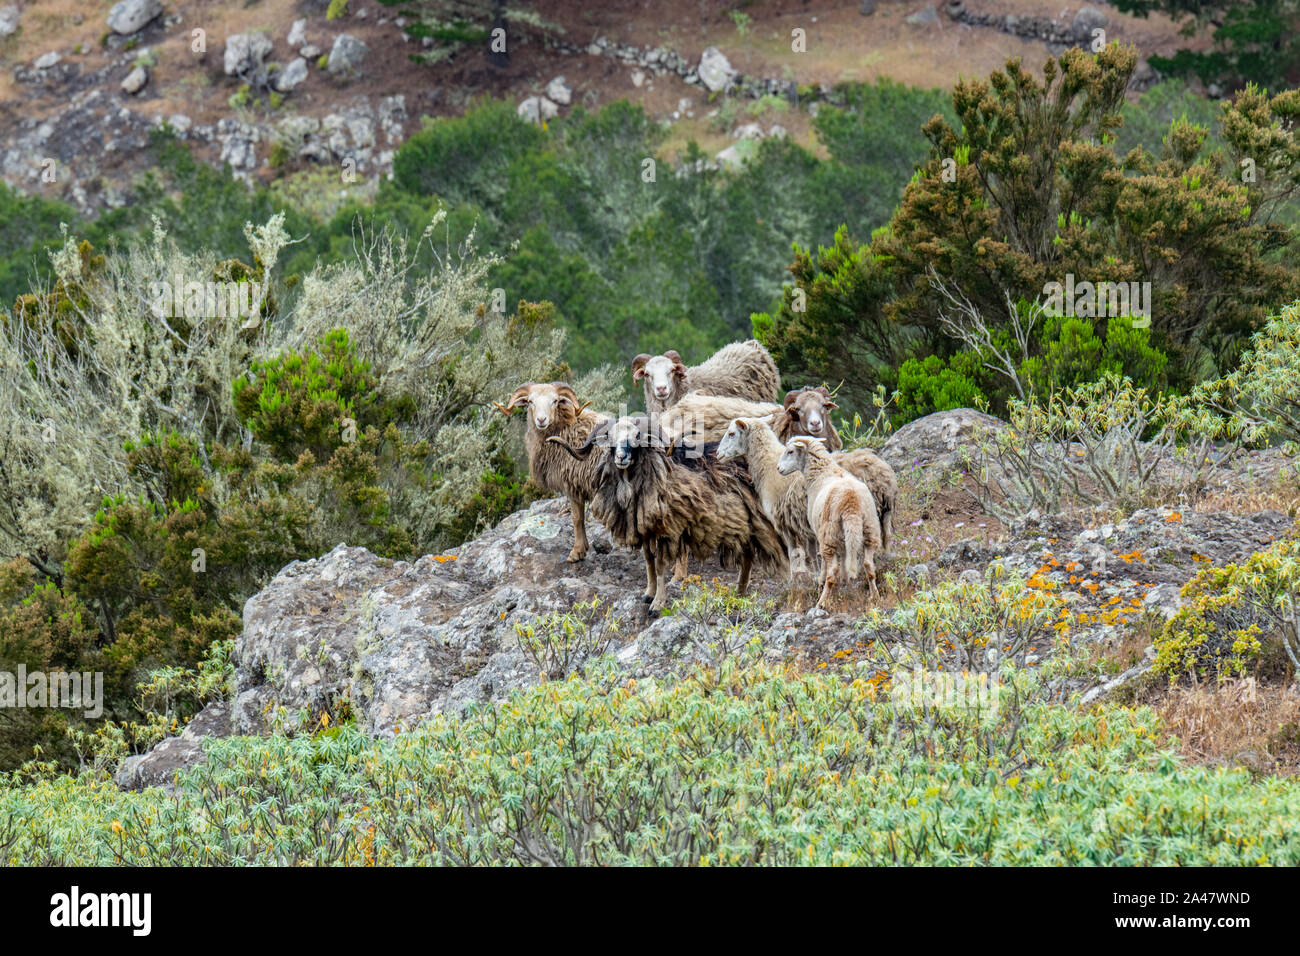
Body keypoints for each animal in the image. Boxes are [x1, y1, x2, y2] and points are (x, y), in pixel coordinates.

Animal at [494, 382, 610, 563]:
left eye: (555, 400)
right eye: (530, 401)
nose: (541, 420)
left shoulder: (573, 485)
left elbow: (577, 518)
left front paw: (576, 552)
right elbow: (580, 518)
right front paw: (583, 548)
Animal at [548, 415, 785, 612]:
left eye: (637, 436)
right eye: (609, 437)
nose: (621, 457)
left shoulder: (666, 530)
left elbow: (661, 565)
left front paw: (657, 603)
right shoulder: (644, 530)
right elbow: (648, 562)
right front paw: (648, 593)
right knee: (748, 555)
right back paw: (740, 592)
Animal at [777, 436, 883, 609]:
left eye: (790, 451)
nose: (779, 469)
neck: (821, 473)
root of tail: (851, 502)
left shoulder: (818, 531)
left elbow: (823, 561)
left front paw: (822, 581)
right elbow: (846, 555)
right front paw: (846, 581)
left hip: (829, 533)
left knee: (831, 572)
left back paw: (822, 602)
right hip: (869, 528)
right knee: (868, 565)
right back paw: (875, 596)